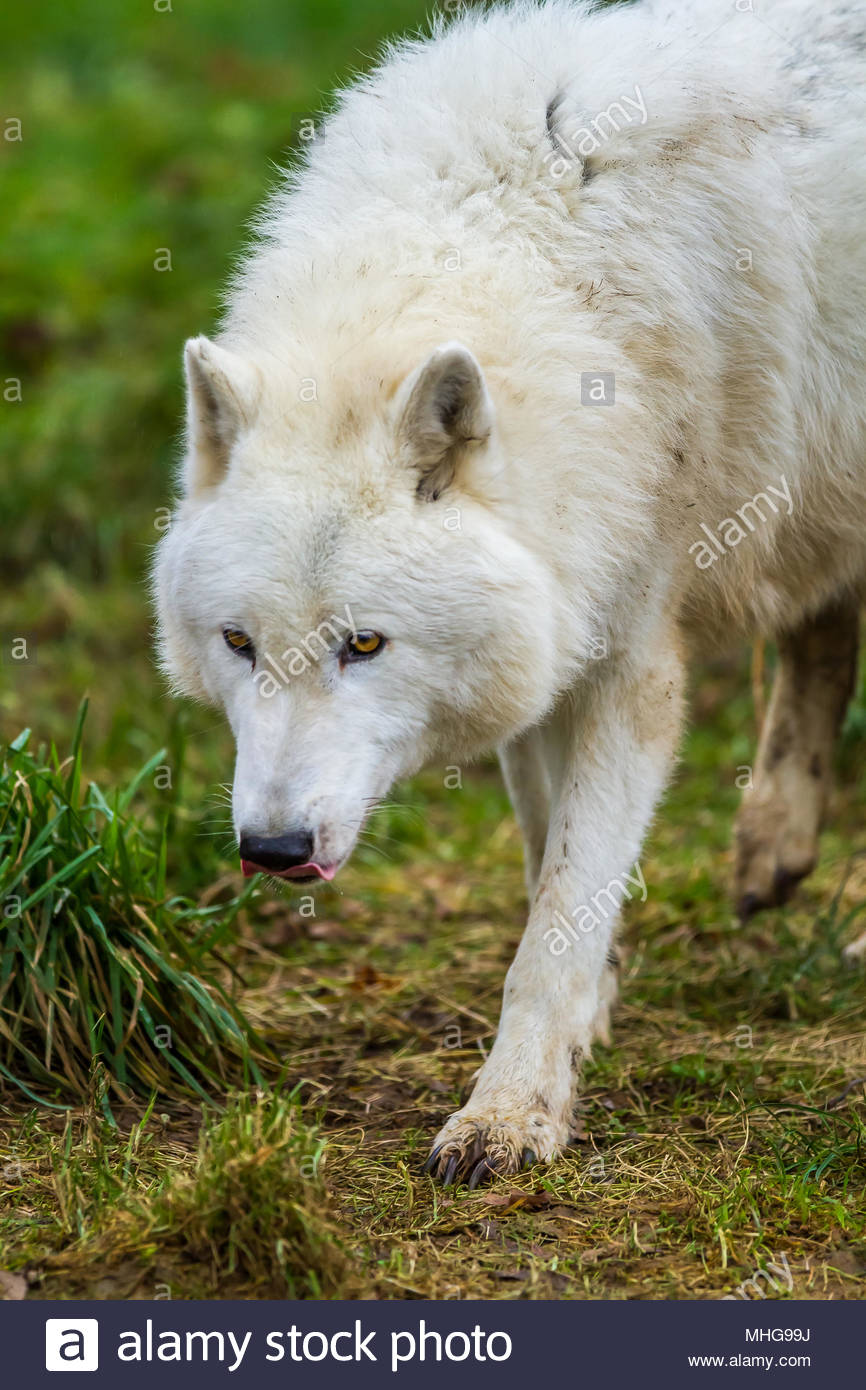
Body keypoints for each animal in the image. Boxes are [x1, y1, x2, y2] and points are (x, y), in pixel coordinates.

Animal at [154, 0, 866, 1186]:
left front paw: (512, 1110)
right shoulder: (549, 642)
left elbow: (564, 905)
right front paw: (586, 1015)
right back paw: (773, 843)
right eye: (240, 644)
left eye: (364, 645)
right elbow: (546, 873)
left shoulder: (632, 661)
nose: (272, 849)